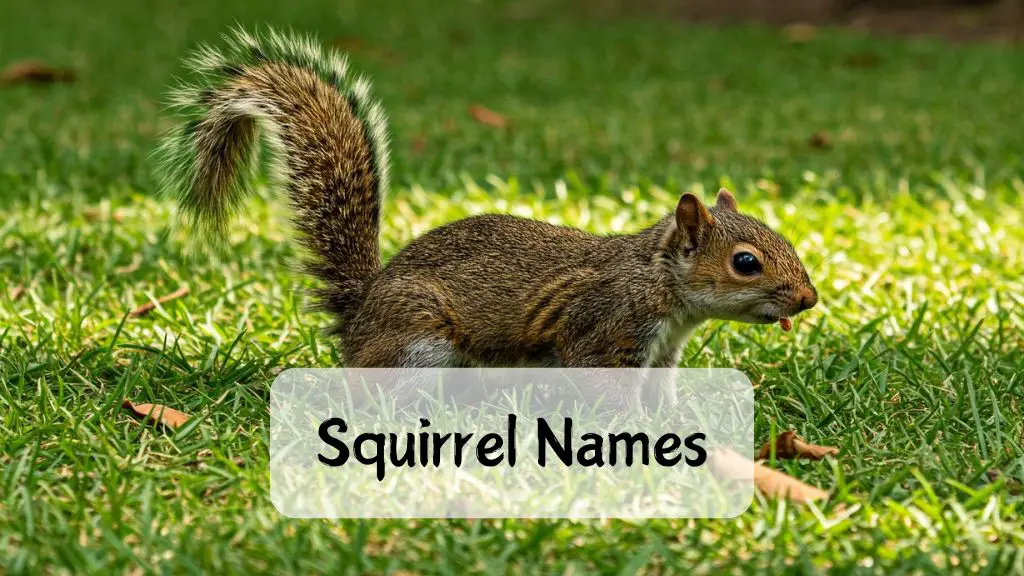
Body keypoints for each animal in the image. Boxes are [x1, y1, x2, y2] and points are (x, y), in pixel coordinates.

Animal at [156, 28, 818, 406]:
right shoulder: (603, 333)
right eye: (746, 263)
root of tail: (360, 317)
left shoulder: (661, 355)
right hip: (419, 344)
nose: (808, 300)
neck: (659, 284)